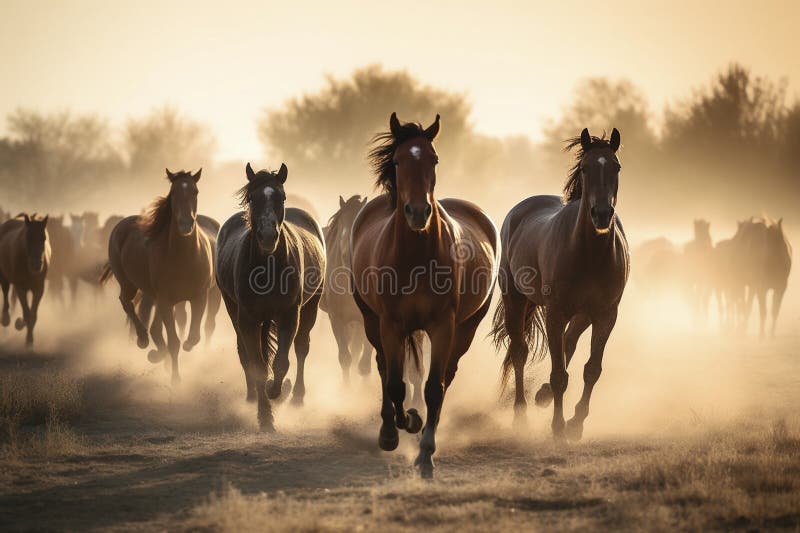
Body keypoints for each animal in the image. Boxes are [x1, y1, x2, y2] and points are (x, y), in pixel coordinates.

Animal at [0, 214, 50, 347]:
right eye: (28, 238)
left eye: (43, 238)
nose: (36, 265)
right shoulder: (21, 287)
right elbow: (27, 313)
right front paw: (28, 339)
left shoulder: (38, 289)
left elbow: (32, 315)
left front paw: (29, 339)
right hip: (4, 276)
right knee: (6, 292)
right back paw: (5, 319)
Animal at [101, 169, 214, 383]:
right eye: (174, 193)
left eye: (195, 191)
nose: (186, 224)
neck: (184, 257)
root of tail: (121, 224)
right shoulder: (166, 301)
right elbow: (173, 342)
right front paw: (176, 379)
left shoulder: (199, 297)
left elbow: (193, 336)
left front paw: (183, 347)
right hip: (129, 284)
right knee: (127, 302)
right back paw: (143, 339)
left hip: (153, 296)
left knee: (154, 327)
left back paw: (156, 353)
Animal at [216, 163, 325, 431]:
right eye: (252, 198)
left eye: (281, 197)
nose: (267, 236)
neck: (267, 267)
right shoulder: (247, 319)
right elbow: (257, 365)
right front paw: (265, 416)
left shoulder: (290, 315)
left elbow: (281, 362)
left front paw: (276, 391)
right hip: (234, 310)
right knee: (245, 353)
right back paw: (251, 397)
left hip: (311, 307)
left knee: (301, 348)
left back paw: (296, 397)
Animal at [351, 113, 499, 478]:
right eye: (398, 160)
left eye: (433, 159)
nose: (418, 212)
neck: (416, 254)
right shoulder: (390, 324)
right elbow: (395, 383)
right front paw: (404, 425)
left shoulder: (444, 326)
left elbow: (433, 387)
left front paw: (426, 452)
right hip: (371, 322)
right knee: (383, 369)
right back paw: (389, 430)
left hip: (466, 328)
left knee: (446, 376)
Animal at [491, 128, 629, 442]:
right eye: (585, 168)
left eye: (616, 167)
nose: (601, 214)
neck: (589, 253)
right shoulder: (555, 313)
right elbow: (558, 375)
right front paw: (557, 426)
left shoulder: (605, 315)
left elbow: (591, 369)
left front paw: (576, 422)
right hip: (516, 300)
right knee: (520, 352)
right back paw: (521, 415)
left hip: (581, 315)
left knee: (569, 344)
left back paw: (541, 397)